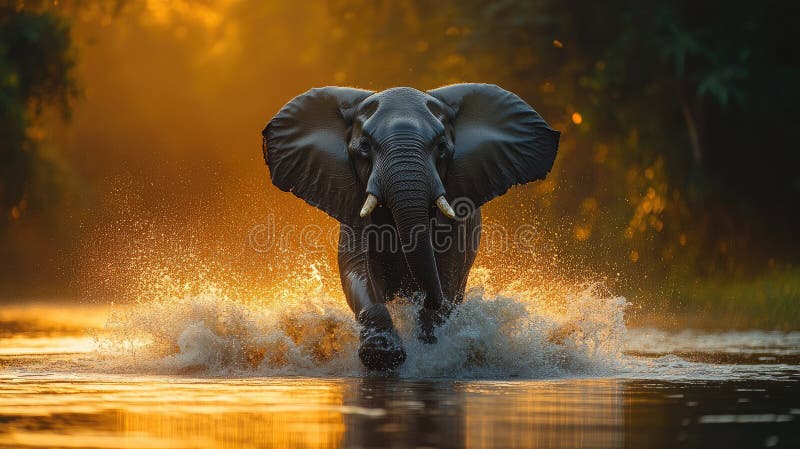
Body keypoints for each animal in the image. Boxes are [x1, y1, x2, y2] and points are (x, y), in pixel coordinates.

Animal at [262, 84, 559, 371]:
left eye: (442, 146)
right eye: (365, 147)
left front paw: (428, 349)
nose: (426, 298)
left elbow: (445, 274)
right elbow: (357, 272)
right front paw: (382, 355)